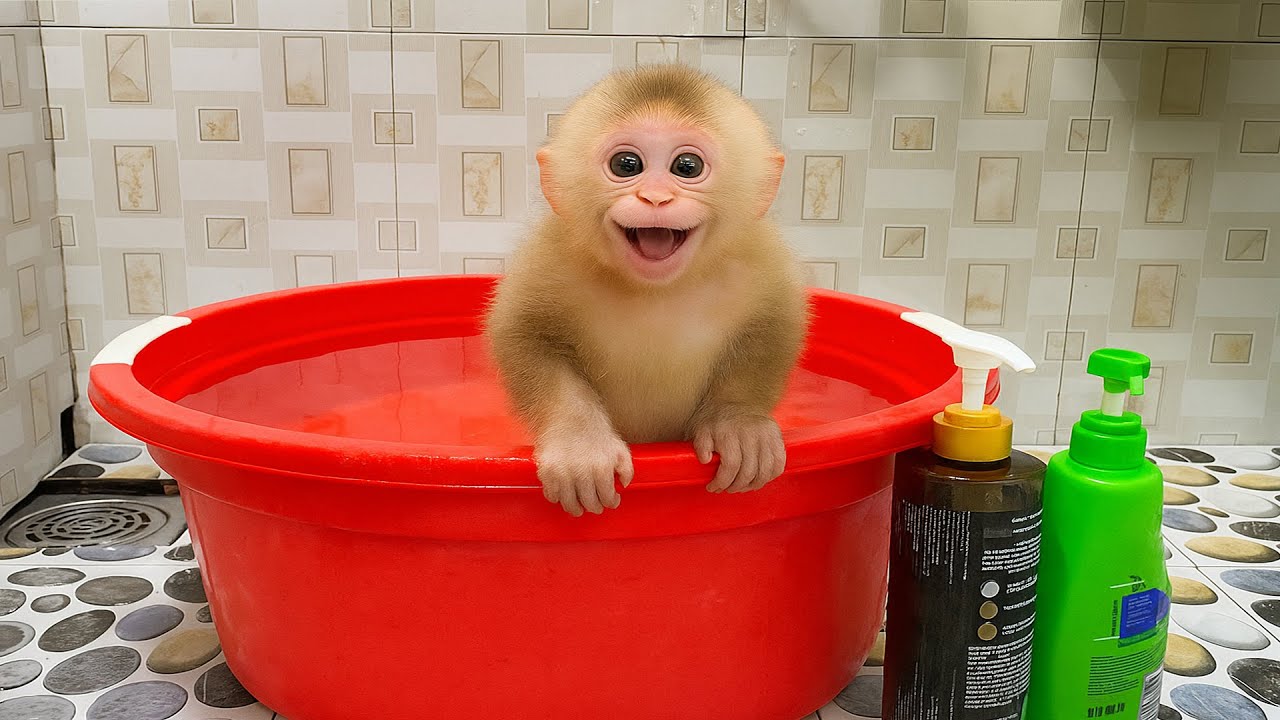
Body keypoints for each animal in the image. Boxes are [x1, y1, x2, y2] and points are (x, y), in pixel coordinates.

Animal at [482, 63, 810, 517]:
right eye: (627, 164)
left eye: (686, 166)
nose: (655, 198)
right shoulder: (552, 254)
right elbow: (524, 331)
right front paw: (580, 444)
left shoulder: (760, 260)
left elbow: (774, 324)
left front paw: (738, 422)